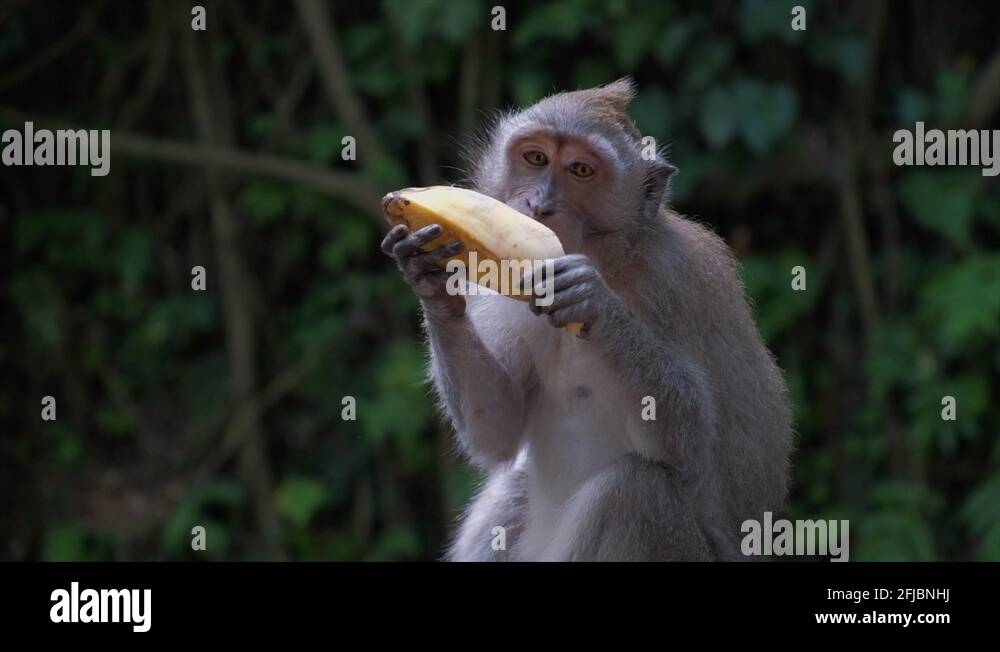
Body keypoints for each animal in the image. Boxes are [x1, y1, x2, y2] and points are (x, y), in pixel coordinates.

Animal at [380, 78, 792, 561]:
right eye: (535, 158)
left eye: (581, 170)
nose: (538, 204)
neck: (606, 255)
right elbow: (498, 426)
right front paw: (429, 281)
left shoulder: (674, 281)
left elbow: (690, 448)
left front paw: (596, 303)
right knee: (516, 484)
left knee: (634, 491)